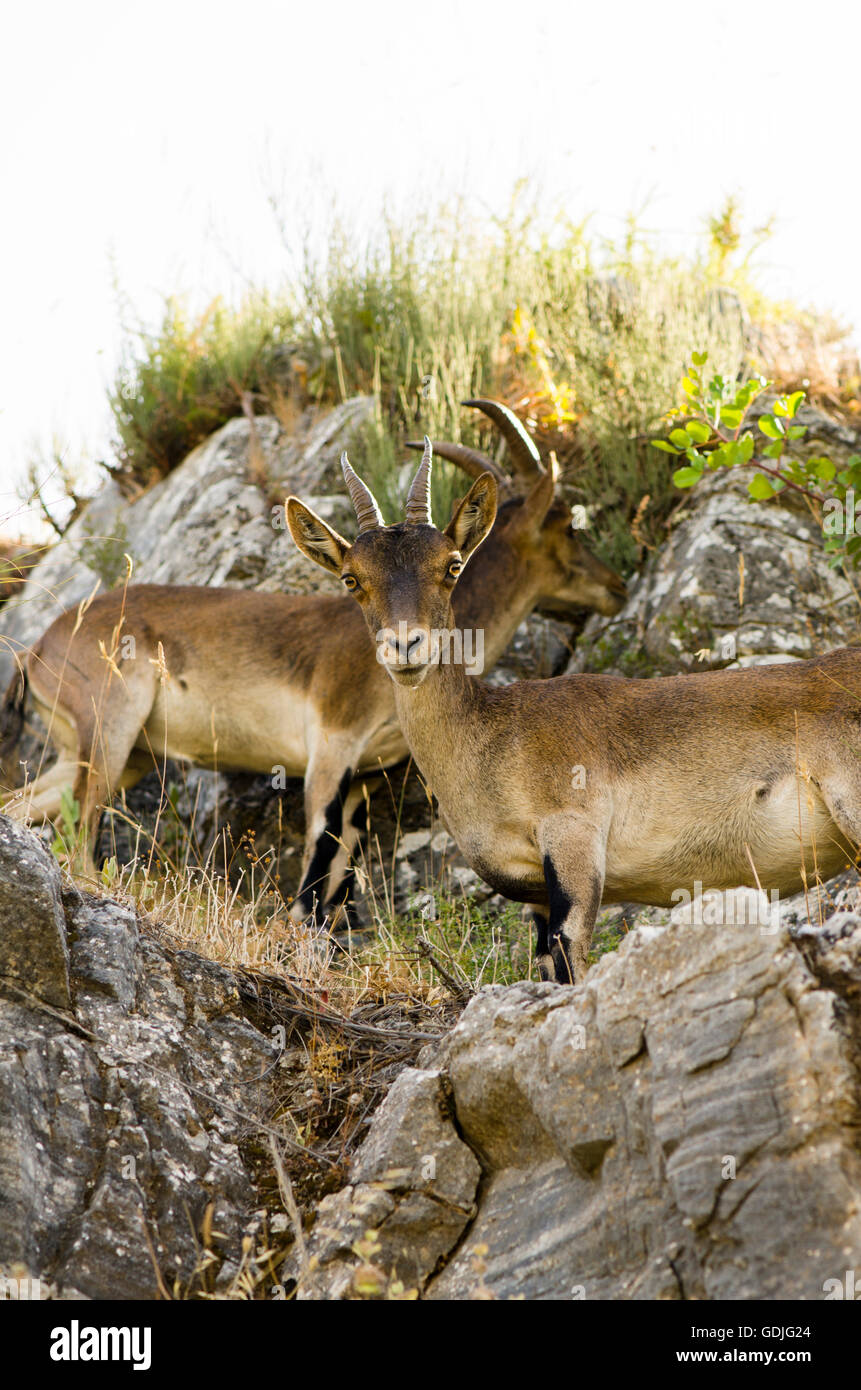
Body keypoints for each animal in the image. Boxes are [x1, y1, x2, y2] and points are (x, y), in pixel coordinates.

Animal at [1, 402, 626, 926]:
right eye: (352, 579)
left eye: (451, 564)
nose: (617, 587)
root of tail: (38, 650)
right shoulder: (331, 743)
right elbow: (313, 870)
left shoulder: (363, 777)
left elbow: (338, 876)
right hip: (110, 729)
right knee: (80, 836)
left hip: (113, 755)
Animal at [287, 443, 861, 982]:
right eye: (351, 578)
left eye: (452, 565)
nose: (406, 647)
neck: (493, 736)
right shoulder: (536, 891)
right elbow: (548, 962)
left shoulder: (574, 838)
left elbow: (570, 949)